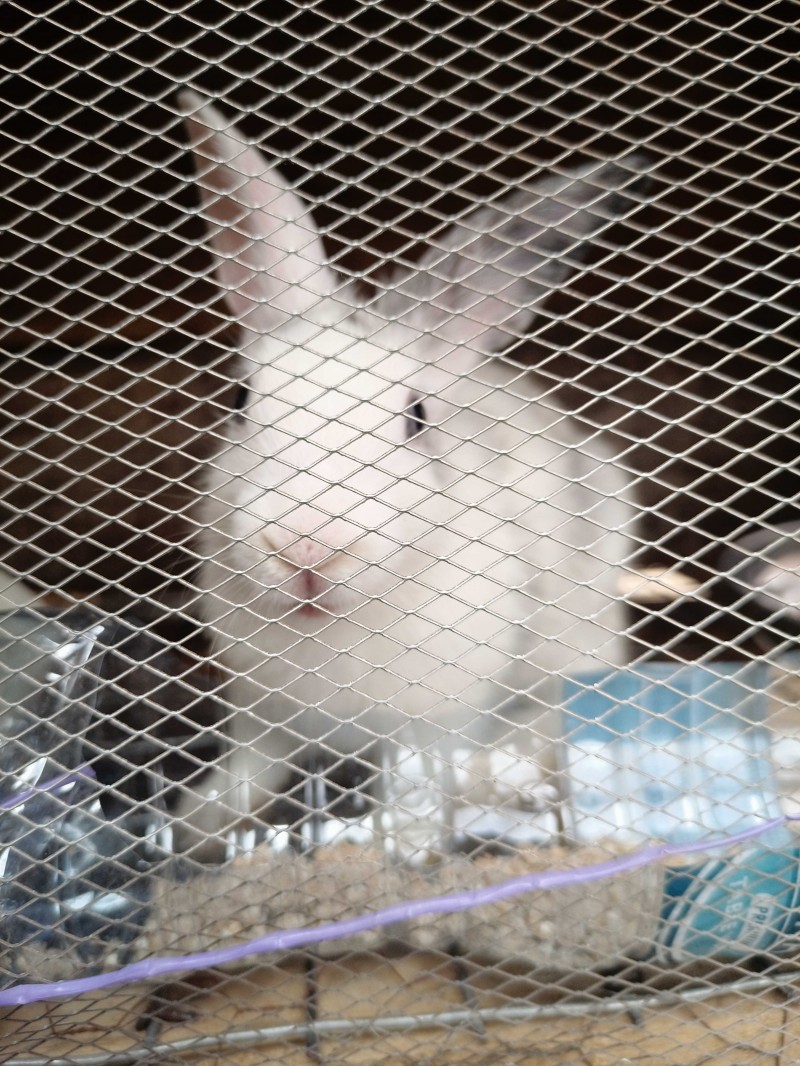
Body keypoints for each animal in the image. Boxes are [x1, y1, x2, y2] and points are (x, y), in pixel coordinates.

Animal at [177, 91, 644, 856]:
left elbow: (416, 790)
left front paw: (406, 850)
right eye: (240, 400)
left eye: (417, 417)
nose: (306, 548)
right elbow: (244, 775)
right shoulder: (264, 722)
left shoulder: (430, 726)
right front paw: (193, 835)